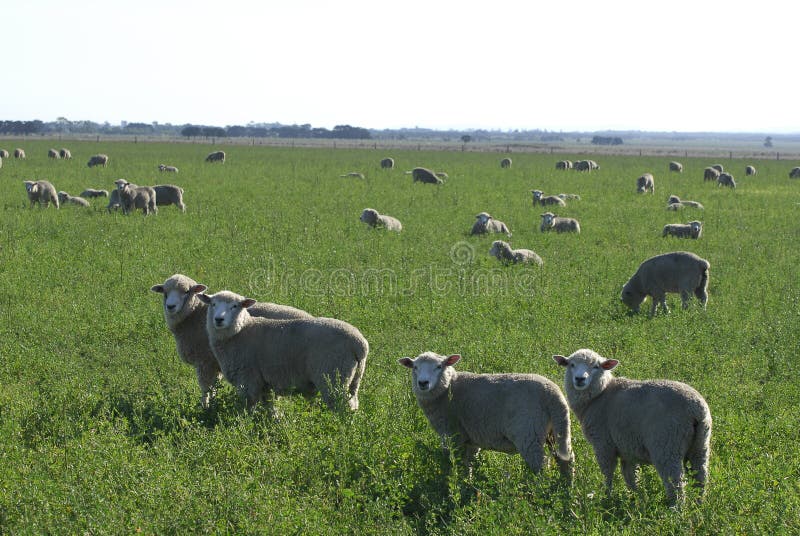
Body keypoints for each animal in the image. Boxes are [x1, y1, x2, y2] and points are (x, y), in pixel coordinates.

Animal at [151, 274, 312, 408]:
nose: (170, 306)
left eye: (186, 291)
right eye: (165, 292)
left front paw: (205, 407)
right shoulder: (216, 363)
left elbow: (206, 388)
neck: (194, 314)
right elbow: (213, 388)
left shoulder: (205, 361)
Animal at [197, 290, 369, 413]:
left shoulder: (248, 380)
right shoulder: (264, 383)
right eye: (213, 304)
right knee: (353, 404)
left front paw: (243, 425)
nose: (219, 319)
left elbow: (248, 408)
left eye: (235, 306)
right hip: (353, 379)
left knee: (342, 408)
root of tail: (360, 344)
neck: (241, 332)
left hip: (333, 376)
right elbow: (270, 407)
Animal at [398, 352, 574, 482]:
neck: (448, 388)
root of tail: (553, 393)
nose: (423, 383)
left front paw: (455, 484)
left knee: (541, 465)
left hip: (529, 433)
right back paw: (567, 488)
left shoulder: (452, 434)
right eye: (415, 367)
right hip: (556, 429)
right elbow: (468, 463)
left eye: (439, 366)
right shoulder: (471, 437)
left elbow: (454, 462)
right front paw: (467, 482)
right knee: (566, 459)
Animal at [553, 349, 711, 506]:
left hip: (667, 445)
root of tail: (695, 408)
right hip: (700, 445)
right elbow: (630, 477)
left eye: (596, 366)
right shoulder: (627, 448)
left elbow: (607, 474)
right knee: (701, 478)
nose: (580, 379)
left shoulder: (603, 444)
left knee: (676, 484)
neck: (599, 396)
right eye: (571, 365)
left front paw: (605, 498)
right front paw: (636, 499)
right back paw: (698, 506)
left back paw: (675, 509)